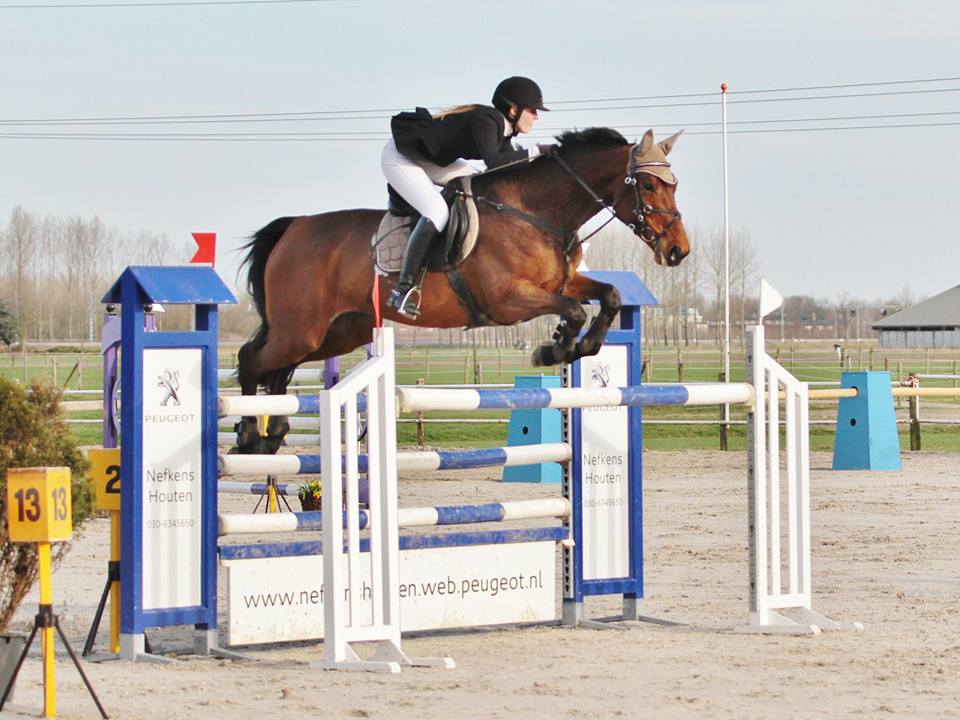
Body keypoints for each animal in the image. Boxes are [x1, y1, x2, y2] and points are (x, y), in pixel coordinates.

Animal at [233, 127, 689, 453]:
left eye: (674, 185)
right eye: (649, 186)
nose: (678, 250)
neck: (535, 211)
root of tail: (294, 226)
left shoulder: (561, 282)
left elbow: (608, 296)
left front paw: (572, 345)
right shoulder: (507, 300)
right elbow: (575, 310)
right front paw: (554, 349)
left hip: (336, 333)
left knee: (276, 369)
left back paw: (274, 432)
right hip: (302, 329)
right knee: (251, 359)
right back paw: (249, 434)